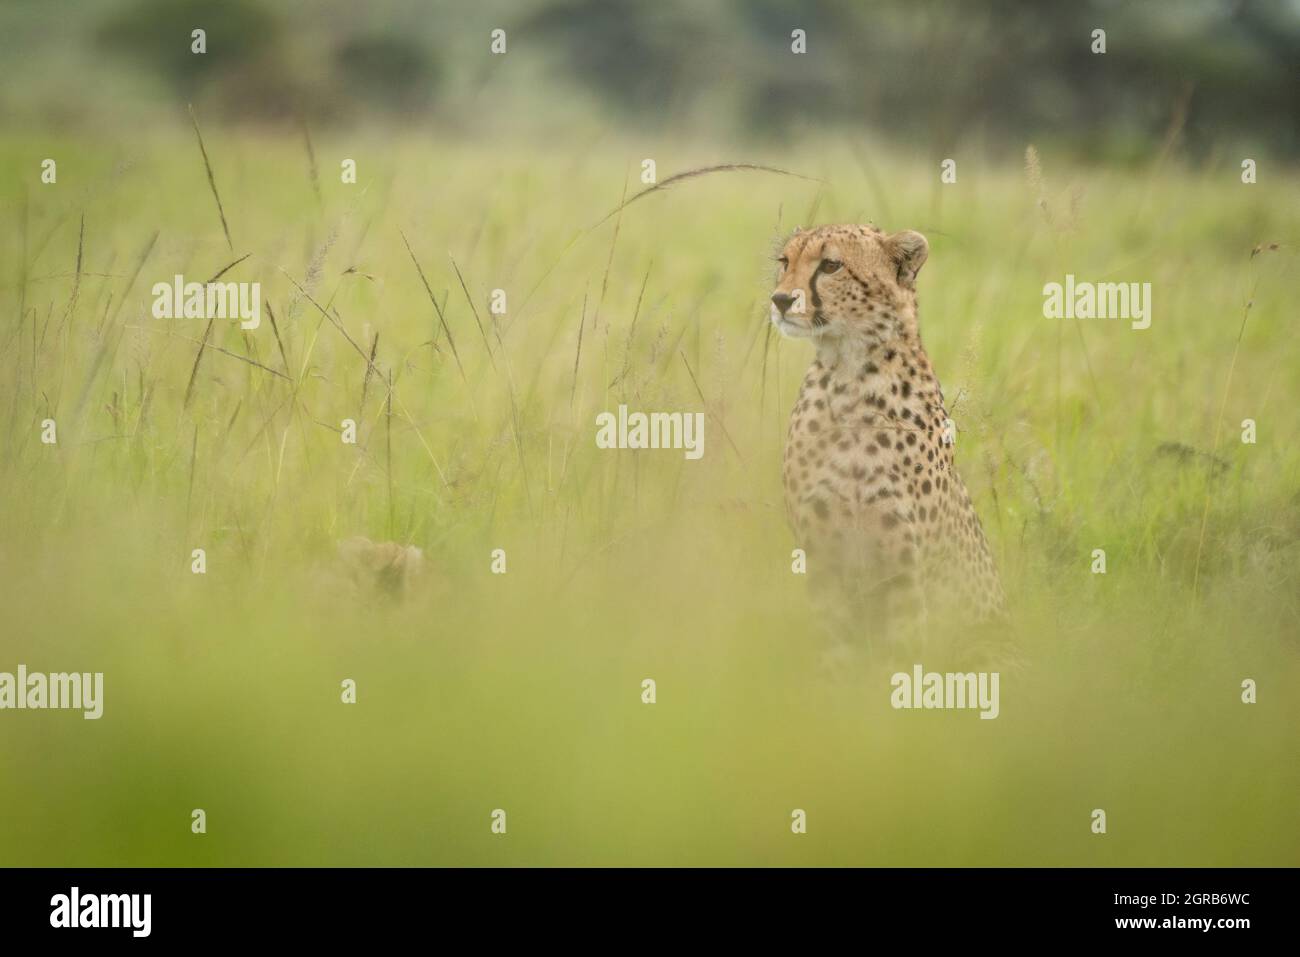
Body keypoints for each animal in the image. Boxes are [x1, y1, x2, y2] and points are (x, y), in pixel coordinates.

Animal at [771, 223, 1005, 648]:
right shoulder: (822, 560)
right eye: (785, 261)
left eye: (830, 265)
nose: (780, 299)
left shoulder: (906, 574)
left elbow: (903, 651)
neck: (849, 374)